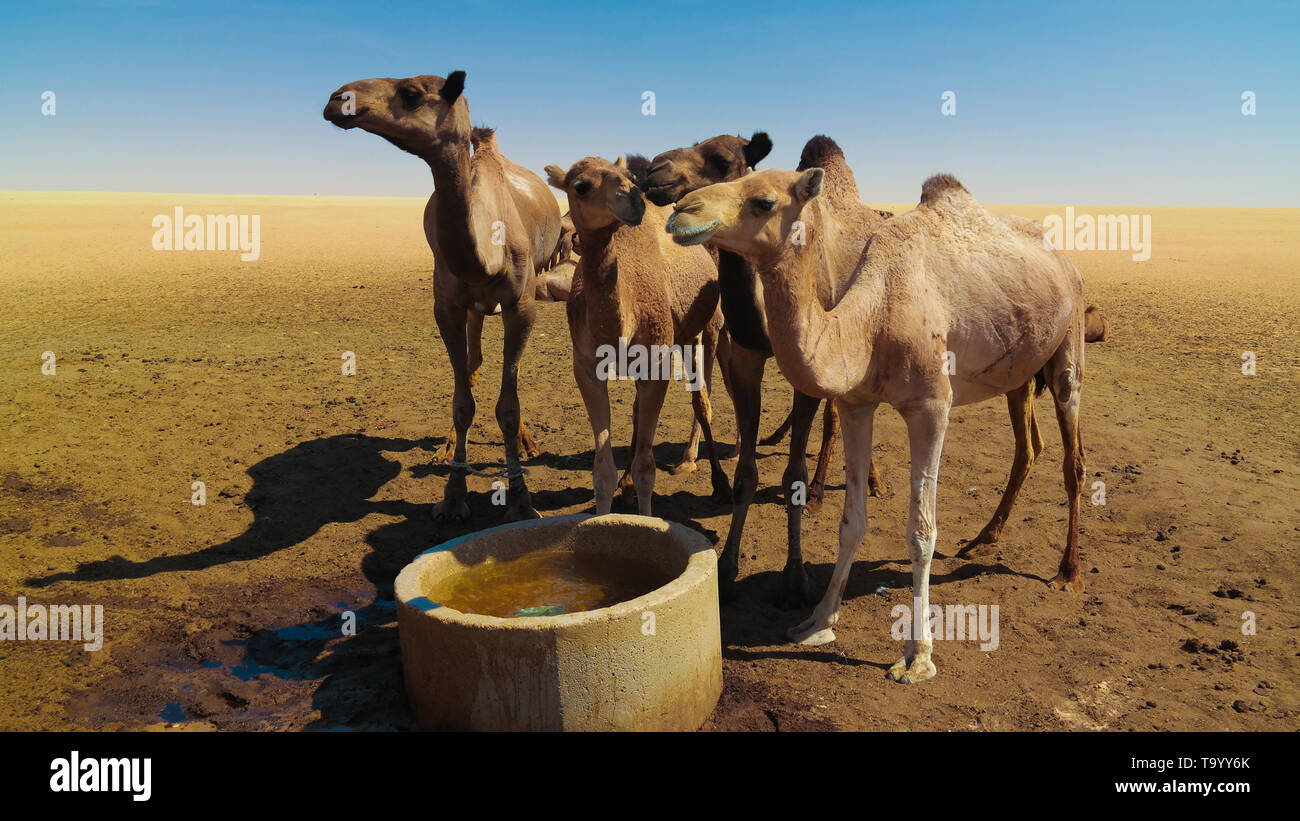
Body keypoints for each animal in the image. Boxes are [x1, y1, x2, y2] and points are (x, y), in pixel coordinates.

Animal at [323, 70, 561, 521]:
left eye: (411, 93)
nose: (336, 99)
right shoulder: (447, 306)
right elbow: (462, 401)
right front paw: (452, 496)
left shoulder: (521, 305)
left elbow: (508, 405)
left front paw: (521, 501)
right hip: (473, 308)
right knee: (474, 363)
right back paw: (447, 447)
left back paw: (527, 442)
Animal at [546, 156, 731, 515]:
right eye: (581, 186)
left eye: (629, 176)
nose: (632, 197)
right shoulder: (586, 367)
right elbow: (602, 468)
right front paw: (614, 497)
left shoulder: (657, 362)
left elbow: (648, 468)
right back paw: (628, 484)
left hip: (708, 326)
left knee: (703, 399)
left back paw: (710, 475)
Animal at [667, 170, 1087, 683]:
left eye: (763, 200)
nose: (681, 210)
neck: (873, 318)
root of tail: (1063, 258)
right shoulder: (856, 403)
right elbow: (851, 521)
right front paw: (817, 621)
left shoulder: (931, 405)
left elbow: (921, 531)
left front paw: (917, 656)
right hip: (1021, 368)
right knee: (1027, 448)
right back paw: (983, 539)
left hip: (1069, 340)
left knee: (1073, 457)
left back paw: (1067, 571)